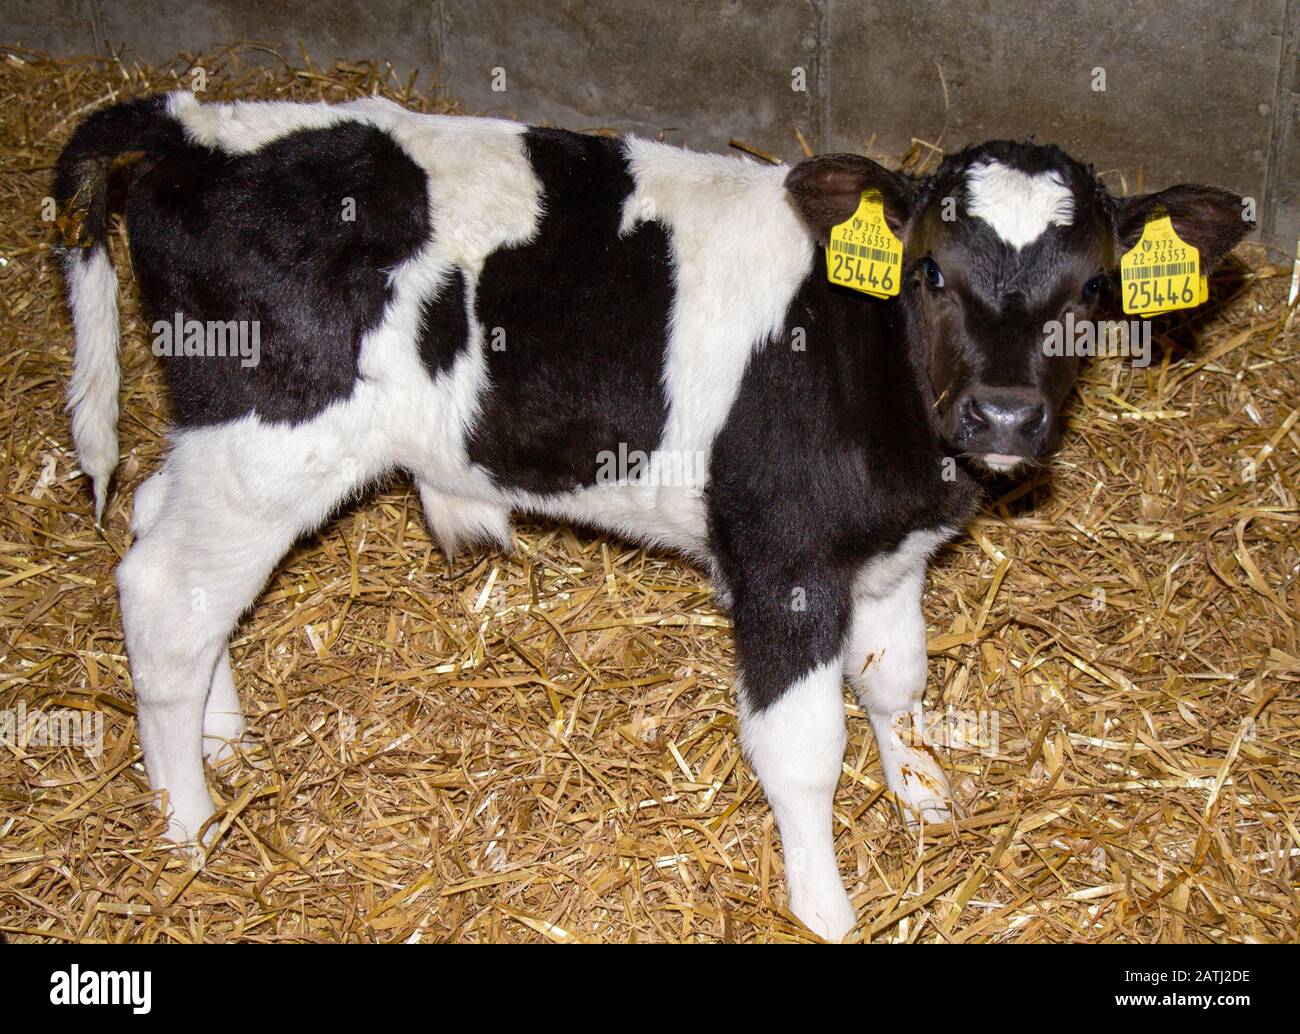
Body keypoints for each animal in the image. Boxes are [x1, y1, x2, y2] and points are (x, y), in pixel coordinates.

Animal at [54, 92, 1252, 940]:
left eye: (1091, 291)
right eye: (930, 274)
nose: (1003, 412)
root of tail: (190, 121)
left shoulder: (890, 551)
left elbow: (895, 680)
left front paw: (924, 797)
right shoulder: (783, 559)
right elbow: (803, 745)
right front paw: (826, 907)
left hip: (223, 429)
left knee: (168, 536)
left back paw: (219, 735)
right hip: (271, 433)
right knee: (165, 595)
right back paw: (187, 820)